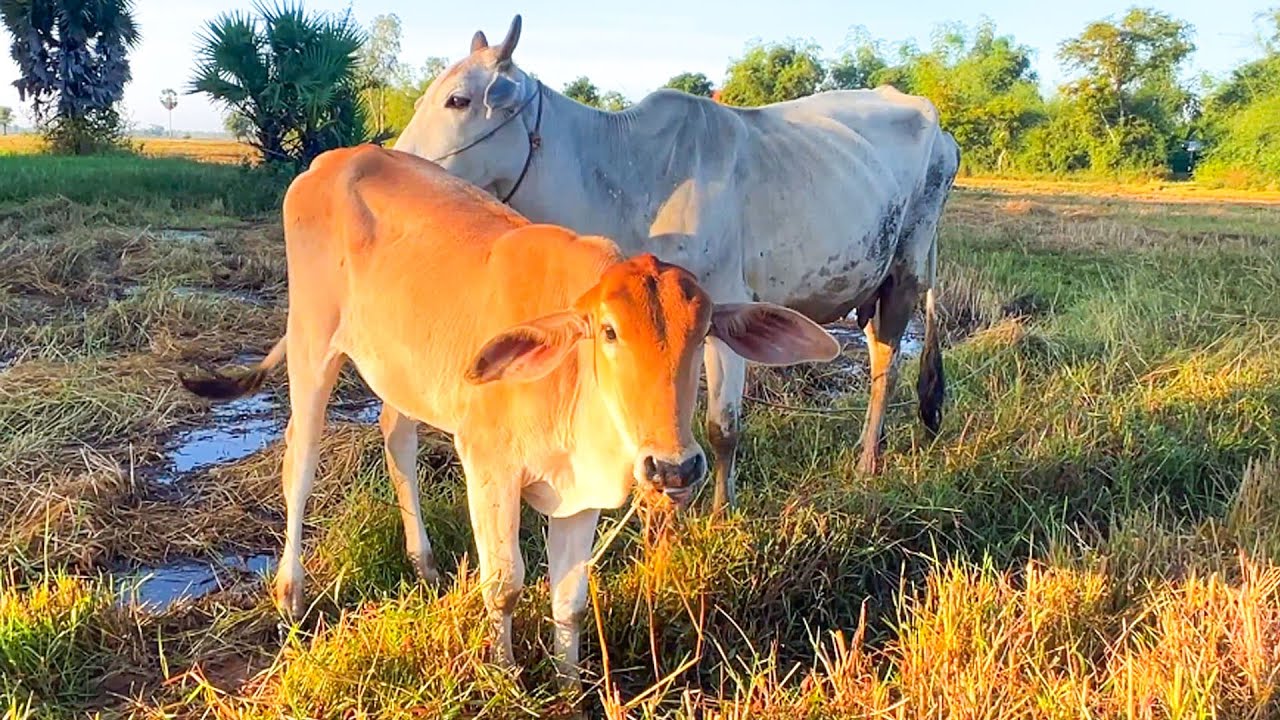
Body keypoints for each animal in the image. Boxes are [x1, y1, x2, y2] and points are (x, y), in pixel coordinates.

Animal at [179, 145, 838, 688]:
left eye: (702, 335)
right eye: (608, 331)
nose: (673, 468)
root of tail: (329, 161)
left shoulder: (580, 496)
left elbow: (570, 600)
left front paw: (571, 687)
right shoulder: (490, 468)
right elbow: (505, 585)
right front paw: (505, 677)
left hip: (400, 371)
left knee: (396, 440)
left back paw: (423, 564)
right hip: (312, 345)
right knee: (300, 458)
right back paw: (291, 595)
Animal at [393, 16, 962, 510]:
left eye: (458, 99)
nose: (398, 163)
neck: (625, 174)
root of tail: (935, 123)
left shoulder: (724, 310)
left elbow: (721, 429)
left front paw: (718, 515)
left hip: (907, 270)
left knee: (886, 362)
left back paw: (868, 462)